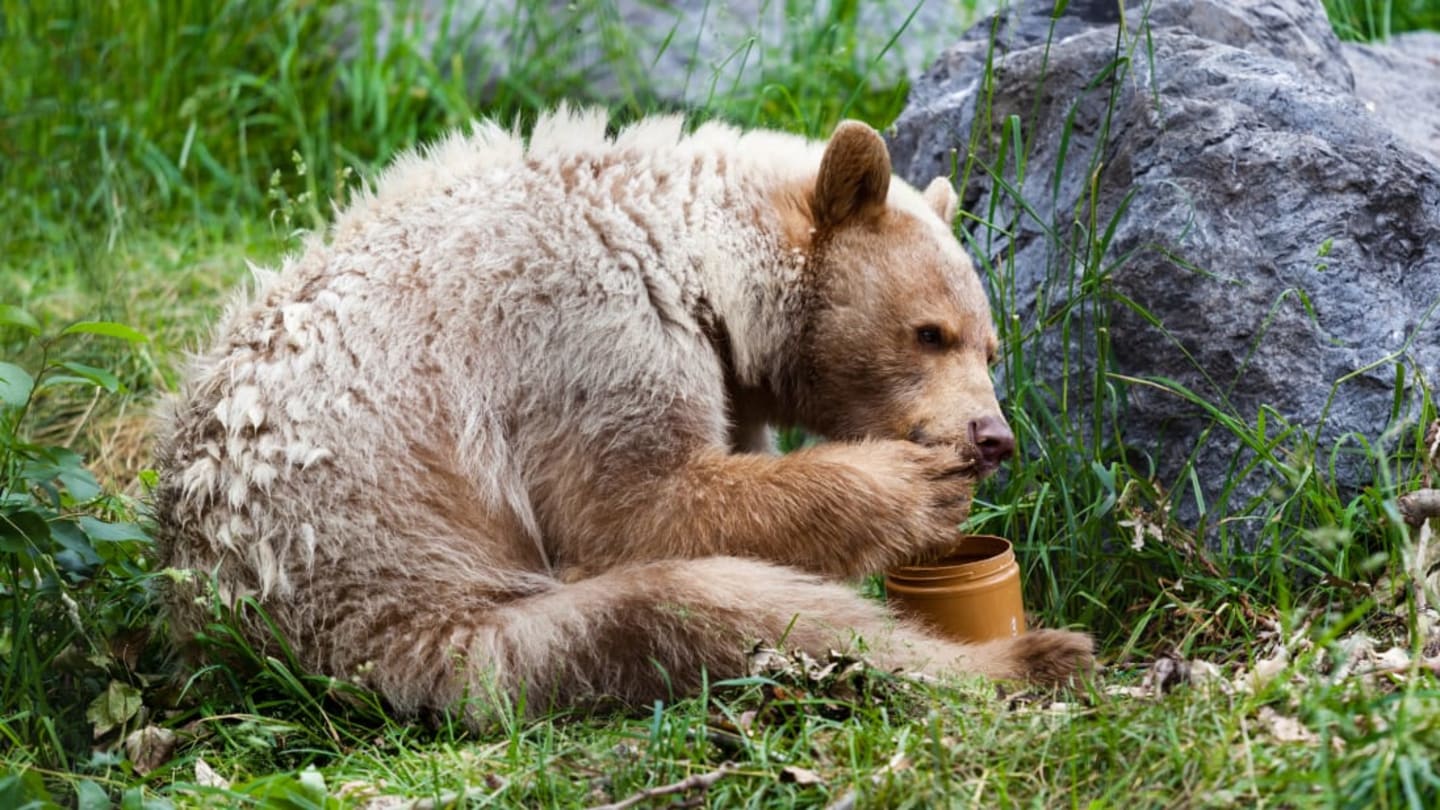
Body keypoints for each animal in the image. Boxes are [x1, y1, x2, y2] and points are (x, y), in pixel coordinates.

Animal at [156, 108, 1093, 723]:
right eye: (930, 333)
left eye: (992, 347)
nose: (991, 436)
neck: (688, 254)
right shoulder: (584, 331)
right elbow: (638, 505)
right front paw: (913, 487)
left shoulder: (719, 379)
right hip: (417, 604)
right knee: (705, 612)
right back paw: (1026, 658)